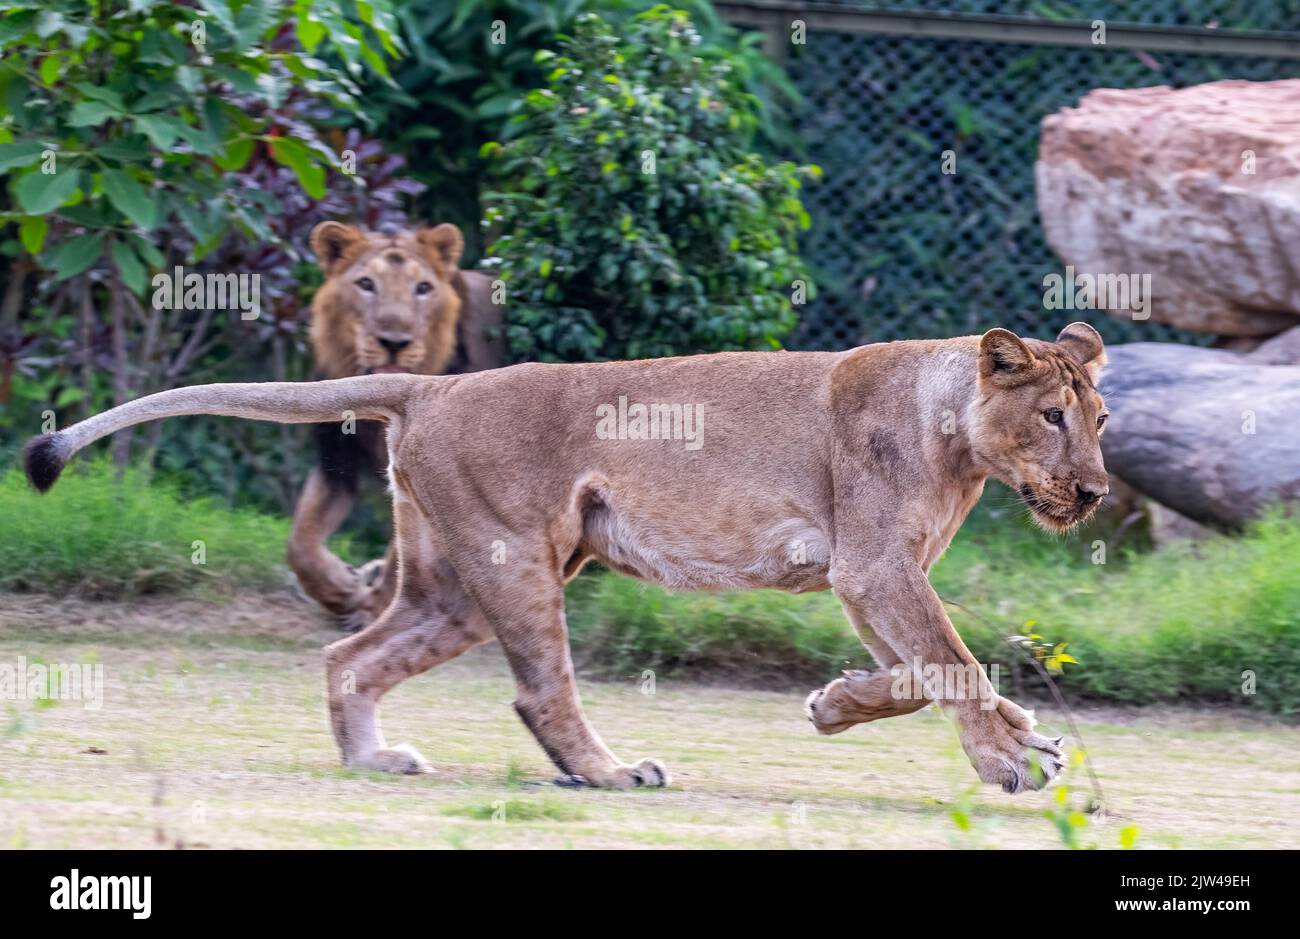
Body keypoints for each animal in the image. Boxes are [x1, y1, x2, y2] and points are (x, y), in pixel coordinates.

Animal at [23, 323, 1109, 794]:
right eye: (1052, 418)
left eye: (1100, 421)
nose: (1097, 493)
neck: (958, 438)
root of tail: (435, 388)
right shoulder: (873, 566)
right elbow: (950, 662)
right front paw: (1011, 761)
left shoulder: (866, 577)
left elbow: (919, 671)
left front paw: (842, 704)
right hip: (517, 558)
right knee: (540, 691)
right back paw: (612, 771)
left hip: (455, 586)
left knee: (349, 657)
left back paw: (376, 758)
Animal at [287, 221, 503, 630]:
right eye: (366, 283)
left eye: (423, 287)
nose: (394, 342)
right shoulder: (337, 462)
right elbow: (301, 543)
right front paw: (343, 588)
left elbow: (399, 557)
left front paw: (372, 608)